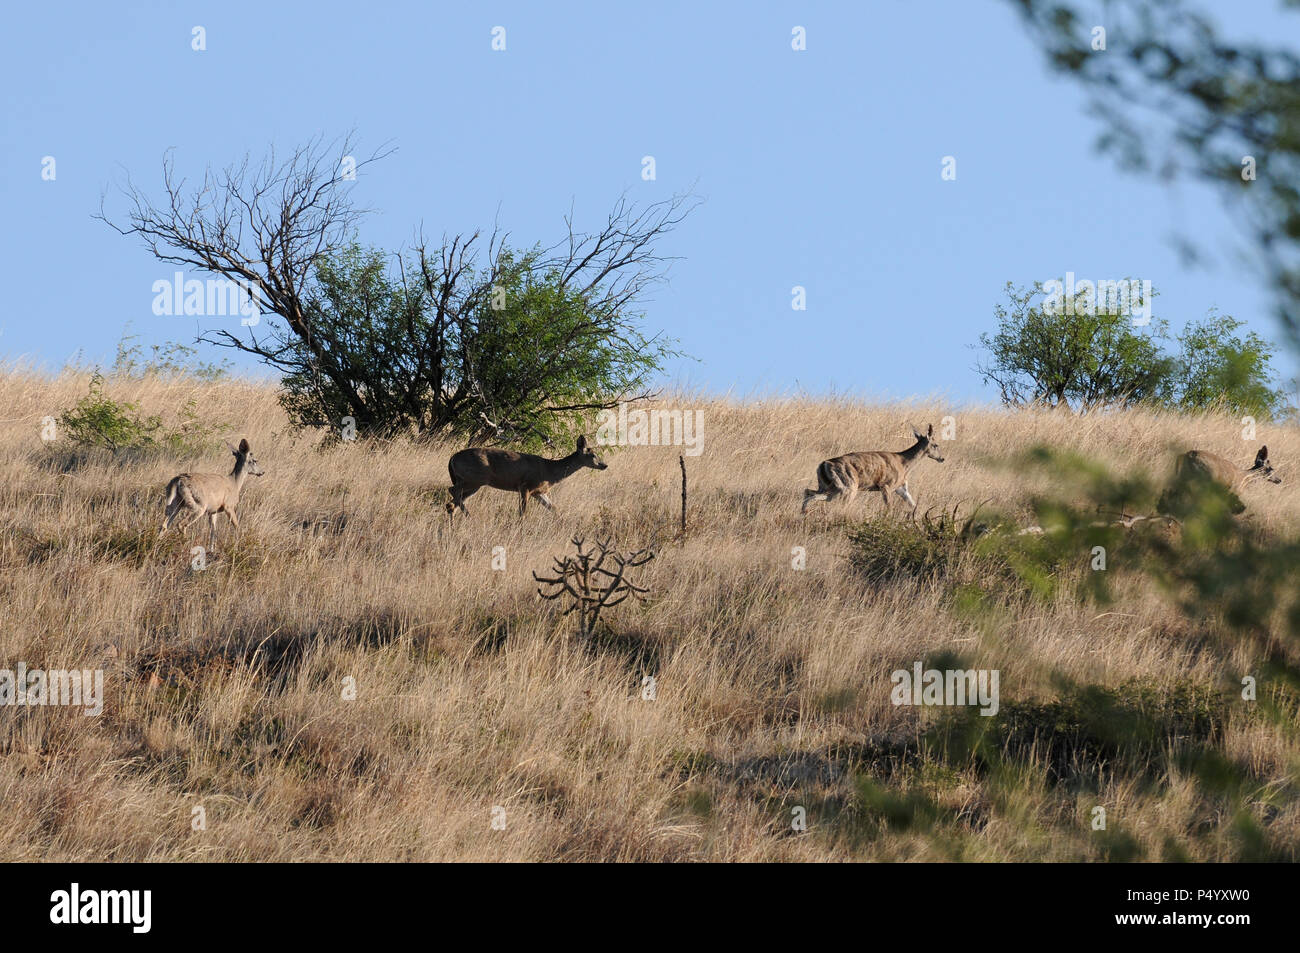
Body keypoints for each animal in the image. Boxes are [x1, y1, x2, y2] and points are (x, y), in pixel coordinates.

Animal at [446, 435, 609, 518]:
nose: (604, 465)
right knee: (452, 491)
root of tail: (452, 457)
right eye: (593, 455)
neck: (550, 471)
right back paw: (469, 515)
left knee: (452, 502)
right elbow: (522, 513)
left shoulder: (539, 492)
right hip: (475, 478)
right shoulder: (525, 486)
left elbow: (555, 509)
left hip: (471, 481)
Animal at [801, 423, 945, 516]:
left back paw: (803, 513)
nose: (942, 458)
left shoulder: (901, 488)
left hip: (828, 486)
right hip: (848, 486)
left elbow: (913, 505)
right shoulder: (885, 485)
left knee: (808, 492)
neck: (904, 463)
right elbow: (889, 508)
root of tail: (823, 464)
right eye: (935, 445)